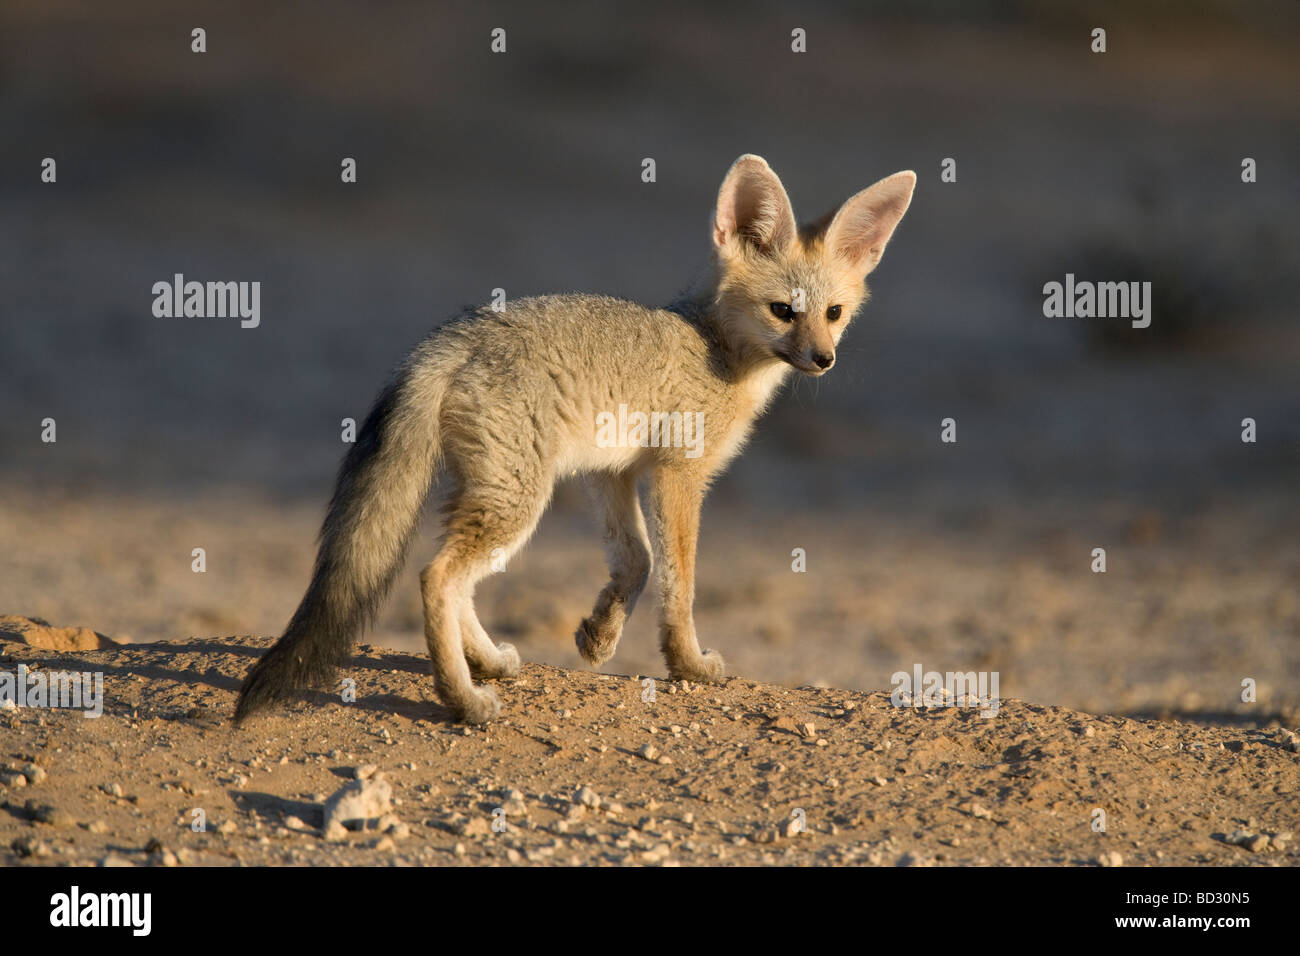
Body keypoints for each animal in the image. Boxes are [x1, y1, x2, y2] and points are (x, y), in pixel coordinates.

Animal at [234, 154, 915, 726]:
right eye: (782, 311)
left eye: (833, 314)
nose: (823, 360)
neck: (714, 349)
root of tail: (454, 336)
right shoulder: (678, 475)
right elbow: (679, 585)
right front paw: (687, 664)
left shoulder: (611, 472)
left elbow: (637, 563)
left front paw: (599, 635)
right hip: (518, 500)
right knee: (436, 577)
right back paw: (462, 700)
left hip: (499, 494)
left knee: (453, 577)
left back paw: (487, 663)